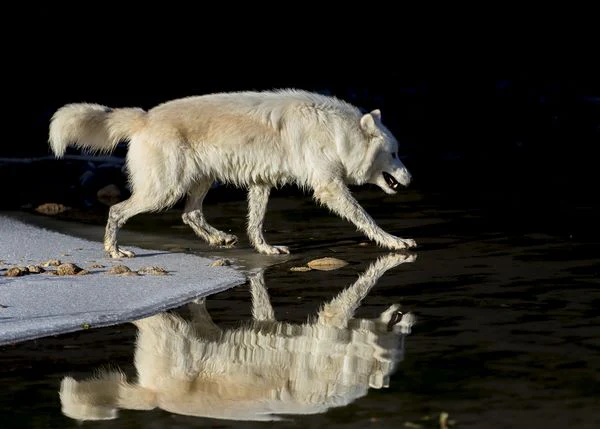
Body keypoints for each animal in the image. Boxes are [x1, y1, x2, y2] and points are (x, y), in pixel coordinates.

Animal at [49, 89, 414, 256]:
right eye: (395, 153)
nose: (411, 178)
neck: (338, 133)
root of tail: (144, 117)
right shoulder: (329, 187)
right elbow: (367, 219)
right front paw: (395, 241)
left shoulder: (261, 183)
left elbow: (256, 224)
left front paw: (266, 250)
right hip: (163, 191)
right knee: (116, 210)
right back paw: (115, 251)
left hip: (200, 181)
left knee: (190, 215)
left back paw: (219, 239)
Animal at [61, 252, 418, 420]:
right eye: (398, 336)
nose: (412, 318)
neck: (346, 368)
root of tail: (154, 395)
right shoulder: (327, 340)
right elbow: (346, 303)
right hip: (173, 341)